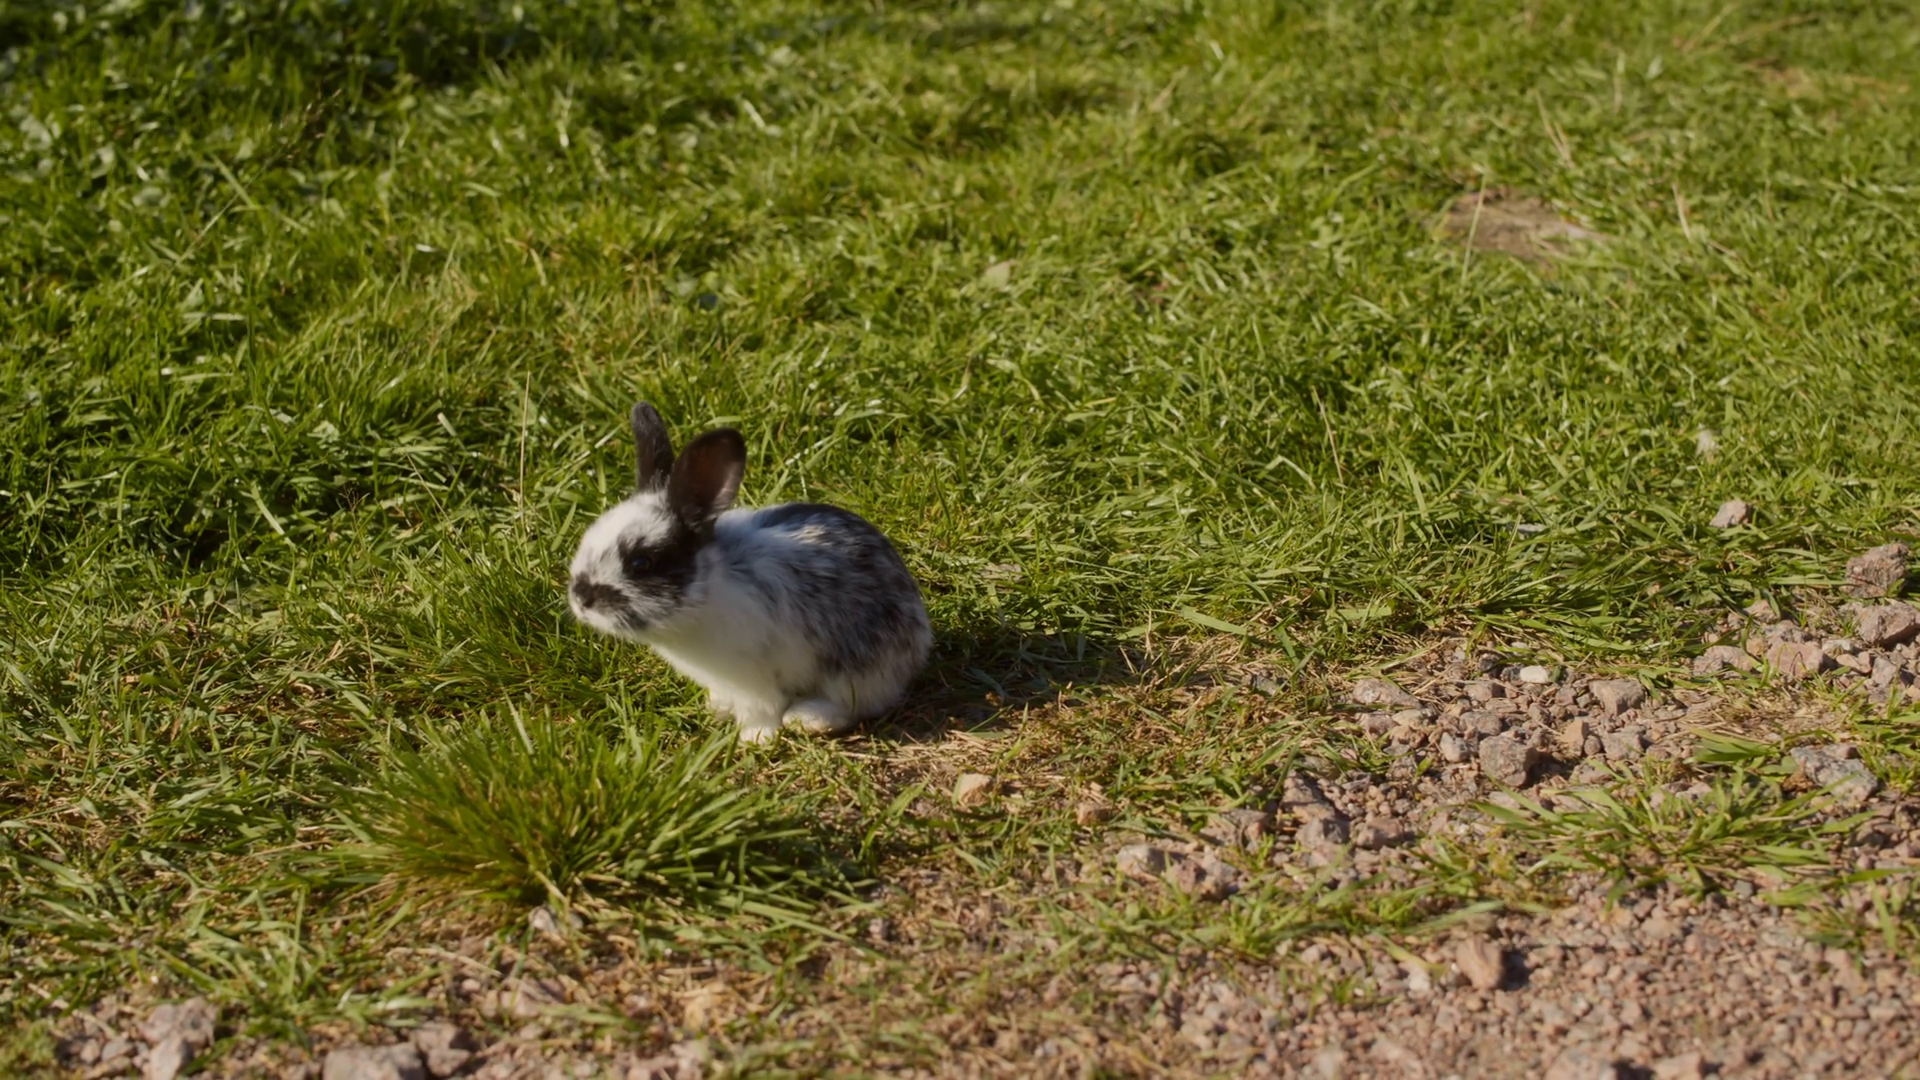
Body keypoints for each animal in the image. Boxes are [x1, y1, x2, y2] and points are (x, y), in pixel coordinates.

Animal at [568, 402, 932, 743]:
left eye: (642, 563)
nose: (581, 599)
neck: (707, 591)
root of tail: (919, 642)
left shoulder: (753, 679)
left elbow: (762, 708)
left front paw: (756, 739)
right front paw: (717, 709)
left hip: (854, 666)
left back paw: (806, 719)